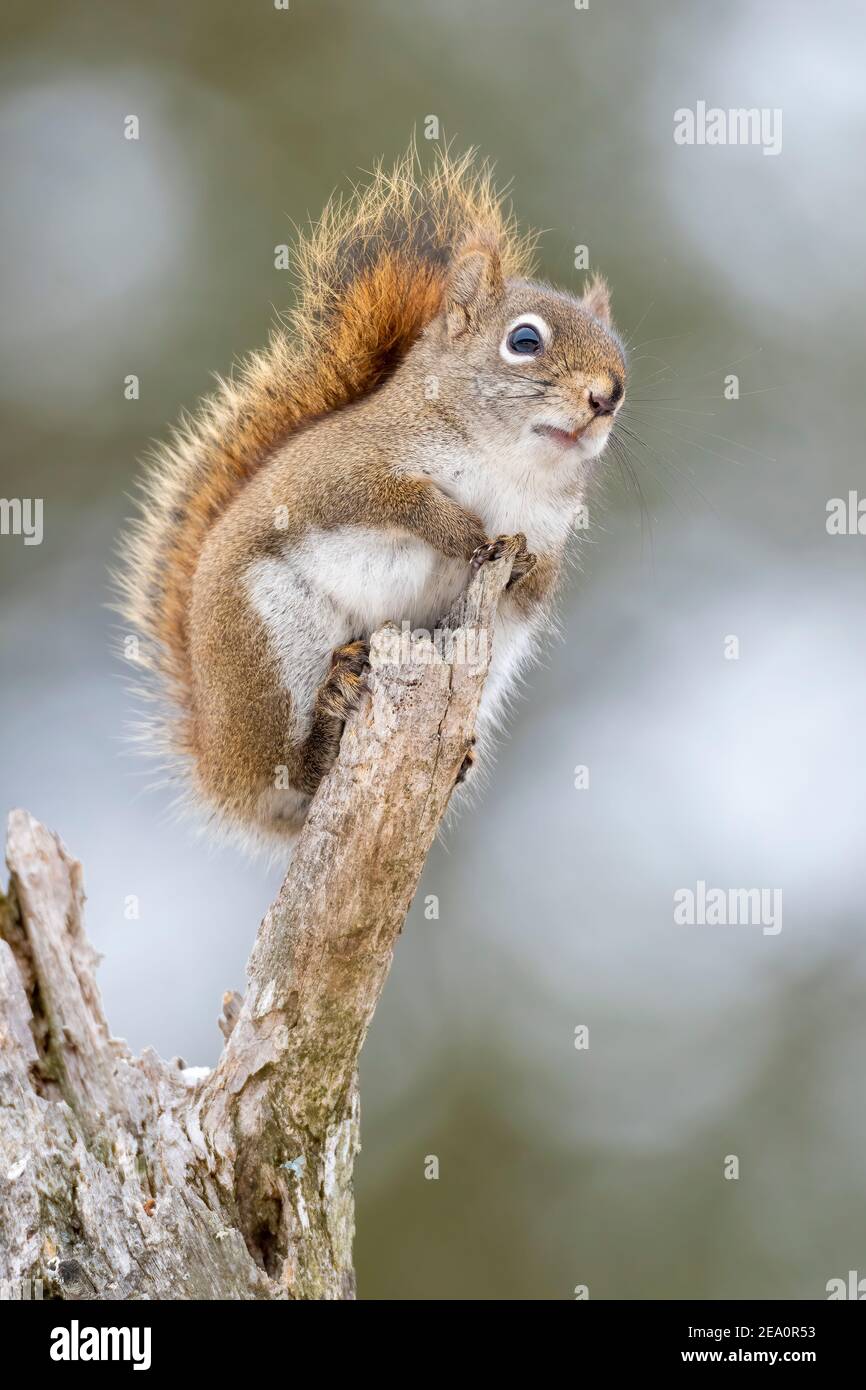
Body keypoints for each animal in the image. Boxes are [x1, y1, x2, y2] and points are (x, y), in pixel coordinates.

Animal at [117, 144, 626, 853]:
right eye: (524, 341)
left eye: (621, 354)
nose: (609, 395)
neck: (510, 467)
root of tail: (220, 769)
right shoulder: (344, 471)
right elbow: (394, 500)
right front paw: (458, 529)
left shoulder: (551, 528)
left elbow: (536, 579)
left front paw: (518, 562)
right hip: (271, 644)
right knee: (292, 768)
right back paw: (328, 717)